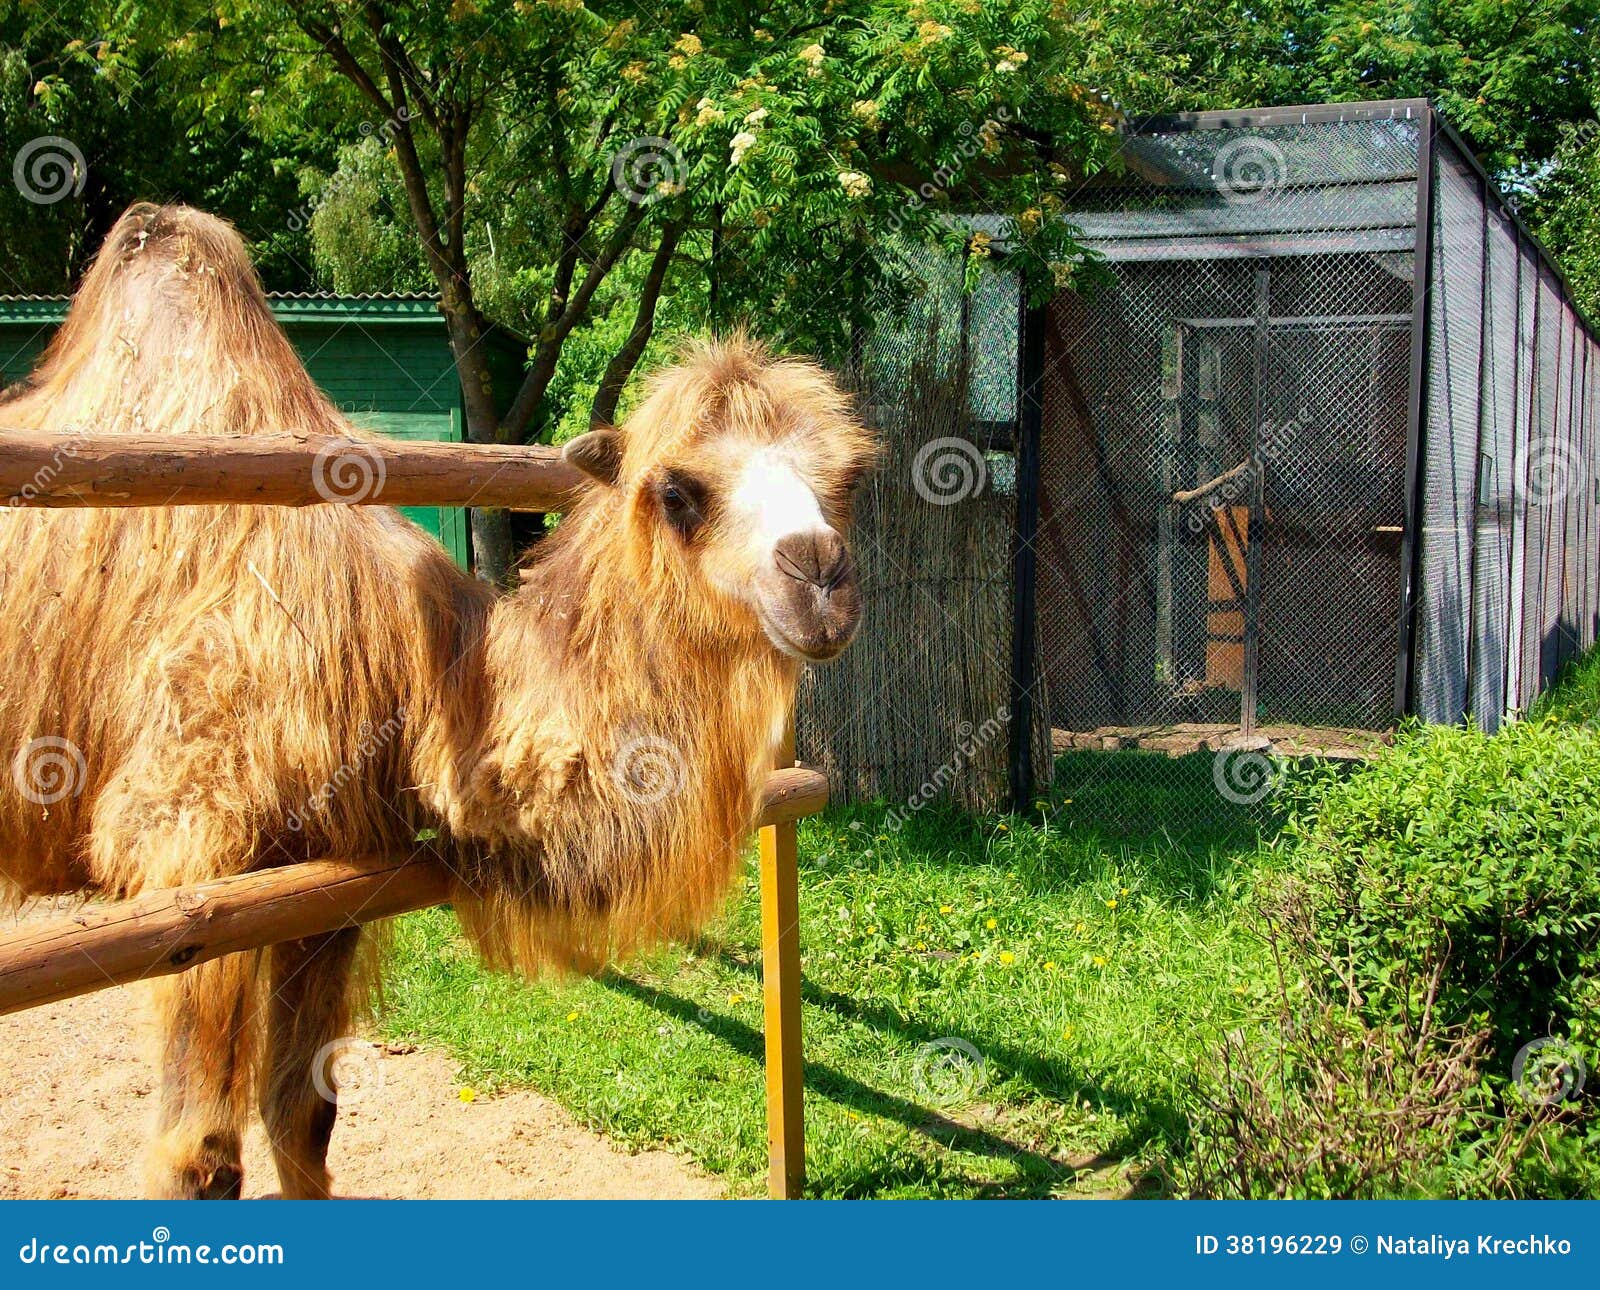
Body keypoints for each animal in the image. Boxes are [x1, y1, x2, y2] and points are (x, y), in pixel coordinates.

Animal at [0, 204, 875, 1199]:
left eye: (849, 481)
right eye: (676, 491)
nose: (821, 577)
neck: (415, 679)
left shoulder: (332, 867)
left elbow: (302, 1116)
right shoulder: (188, 858)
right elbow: (199, 1161)